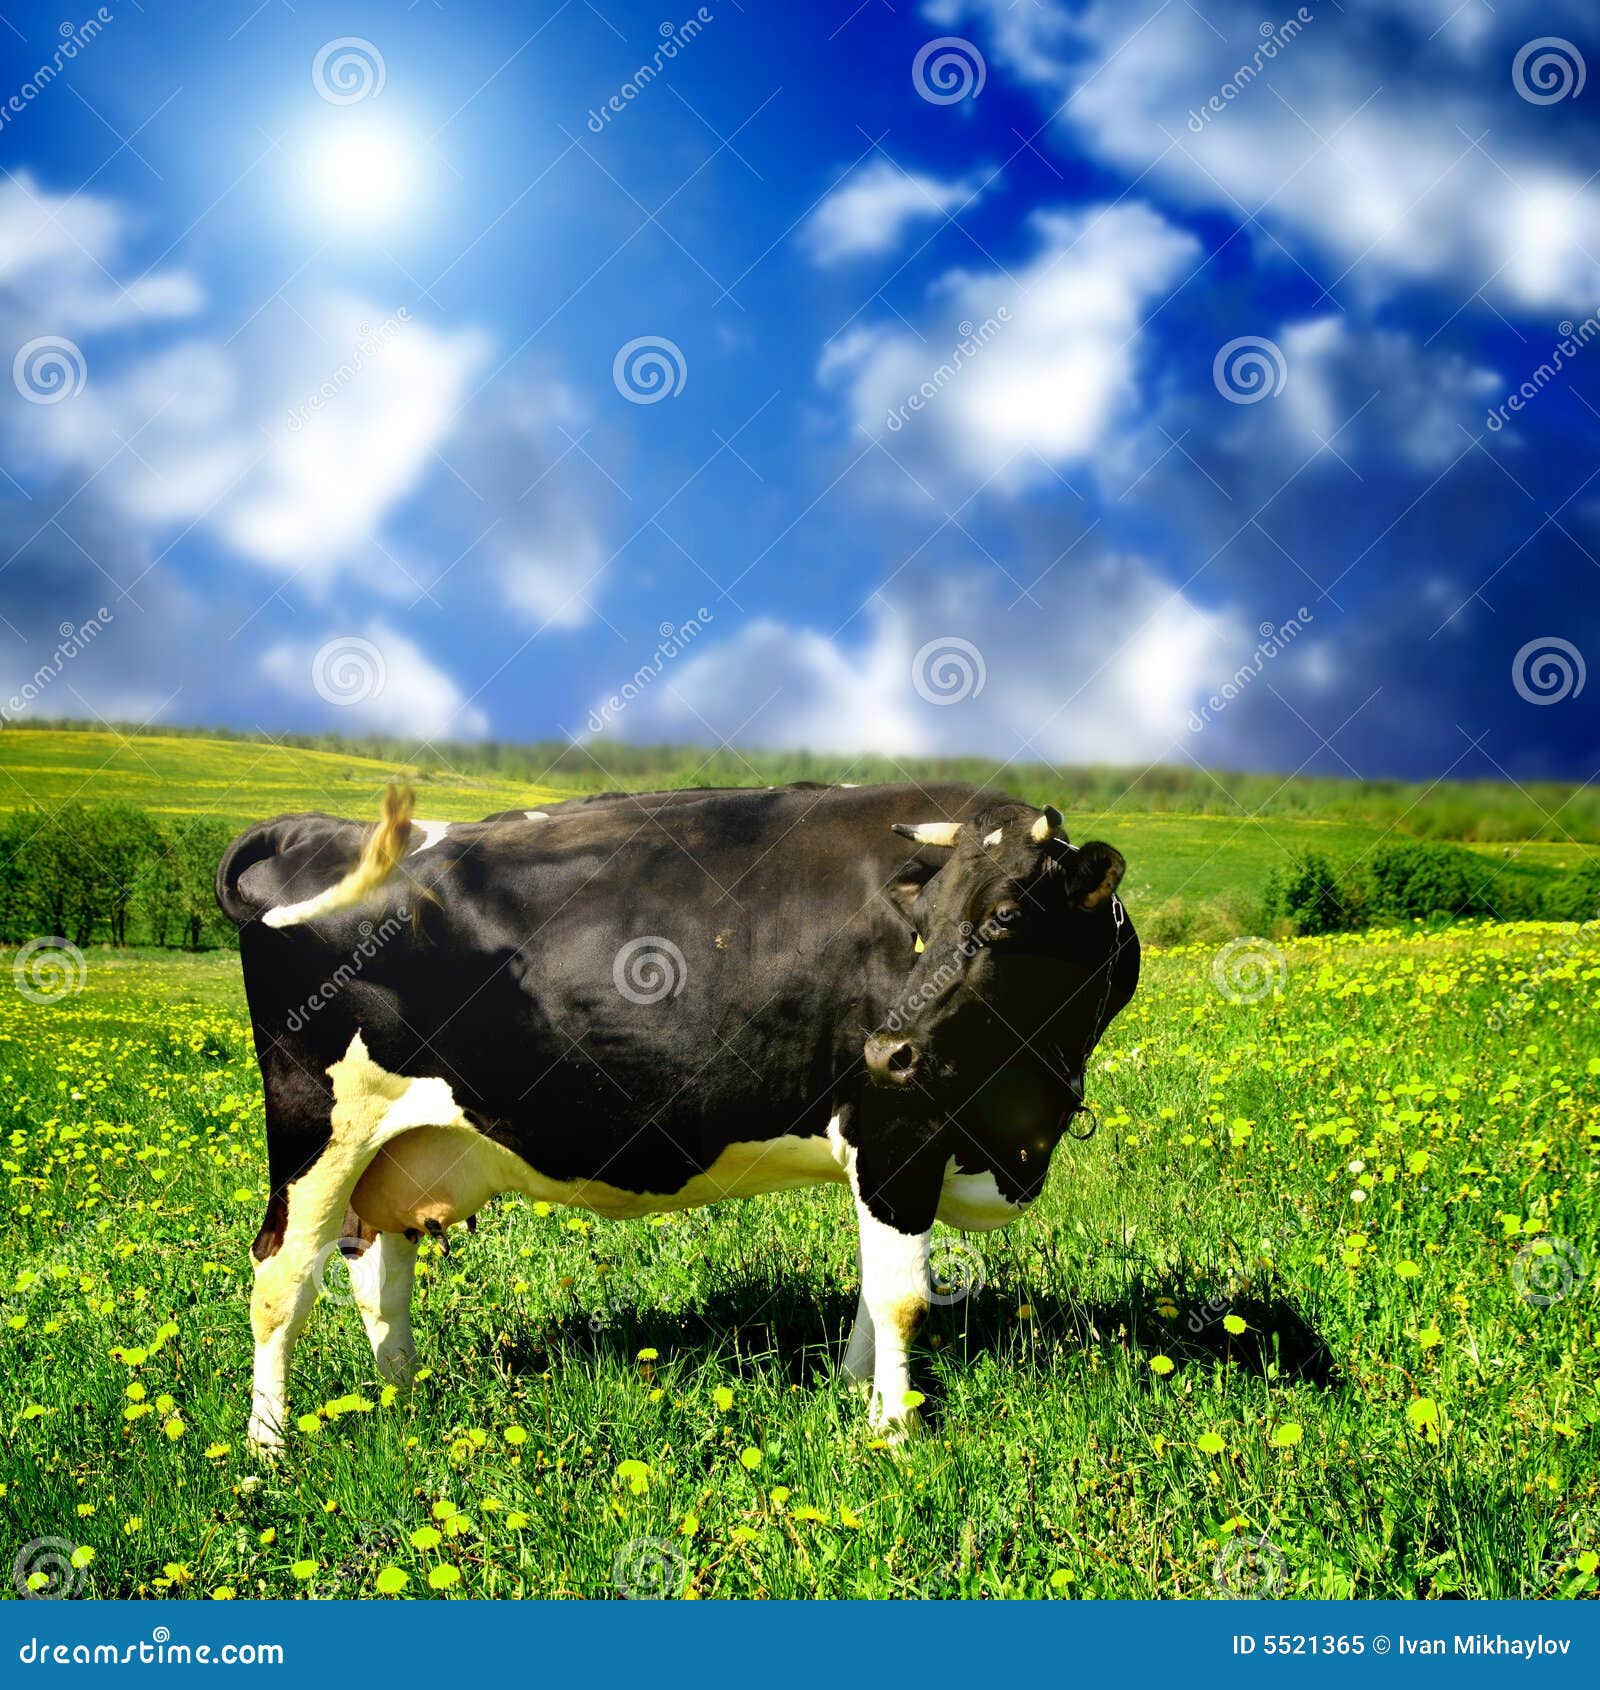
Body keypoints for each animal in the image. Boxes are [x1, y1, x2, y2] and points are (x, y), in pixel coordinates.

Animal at [215, 781, 1138, 1454]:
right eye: (920, 926)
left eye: (1006, 917)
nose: (887, 1051)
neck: (1024, 1122)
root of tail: (310, 829)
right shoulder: (894, 1134)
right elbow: (901, 1298)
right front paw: (893, 1431)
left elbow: (869, 1296)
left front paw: (852, 1393)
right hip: (315, 1127)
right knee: (280, 1281)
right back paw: (268, 1448)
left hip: (396, 1147)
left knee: (379, 1276)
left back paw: (404, 1403)